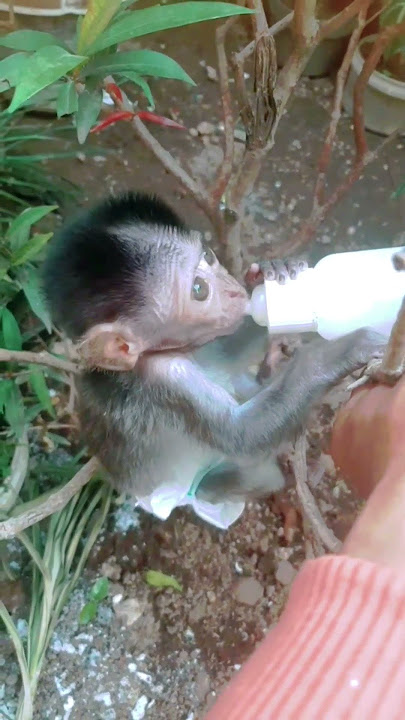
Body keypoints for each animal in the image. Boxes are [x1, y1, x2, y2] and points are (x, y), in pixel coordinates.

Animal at [42, 192, 385, 507]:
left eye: (208, 255)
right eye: (199, 289)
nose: (234, 291)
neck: (162, 352)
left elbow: (228, 353)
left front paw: (273, 272)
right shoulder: (165, 380)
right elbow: (242, 435)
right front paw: (343, 349)